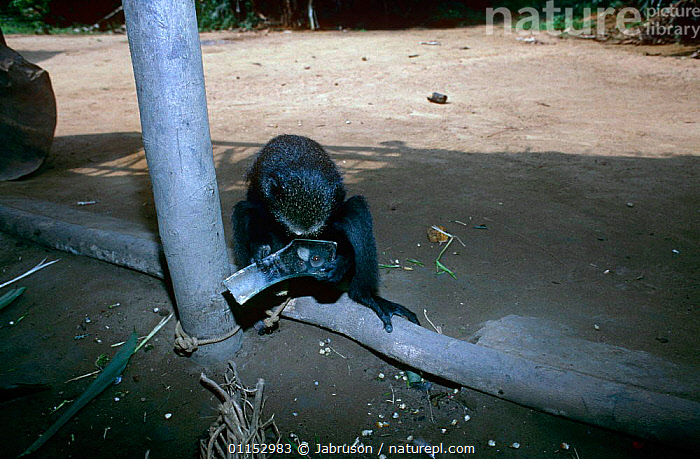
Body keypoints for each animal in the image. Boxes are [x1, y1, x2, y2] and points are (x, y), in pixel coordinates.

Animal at [232, 134, 419, 333]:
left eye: (313, 237)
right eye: (290, 234)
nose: (305, 260)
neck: (301, 169)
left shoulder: (335, 200)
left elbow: (337, 227)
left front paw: (342, 261)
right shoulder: (262, 191)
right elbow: (253, 210)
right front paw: (260, 249)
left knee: (357, 209)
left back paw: (364, 296)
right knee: (242, 211)